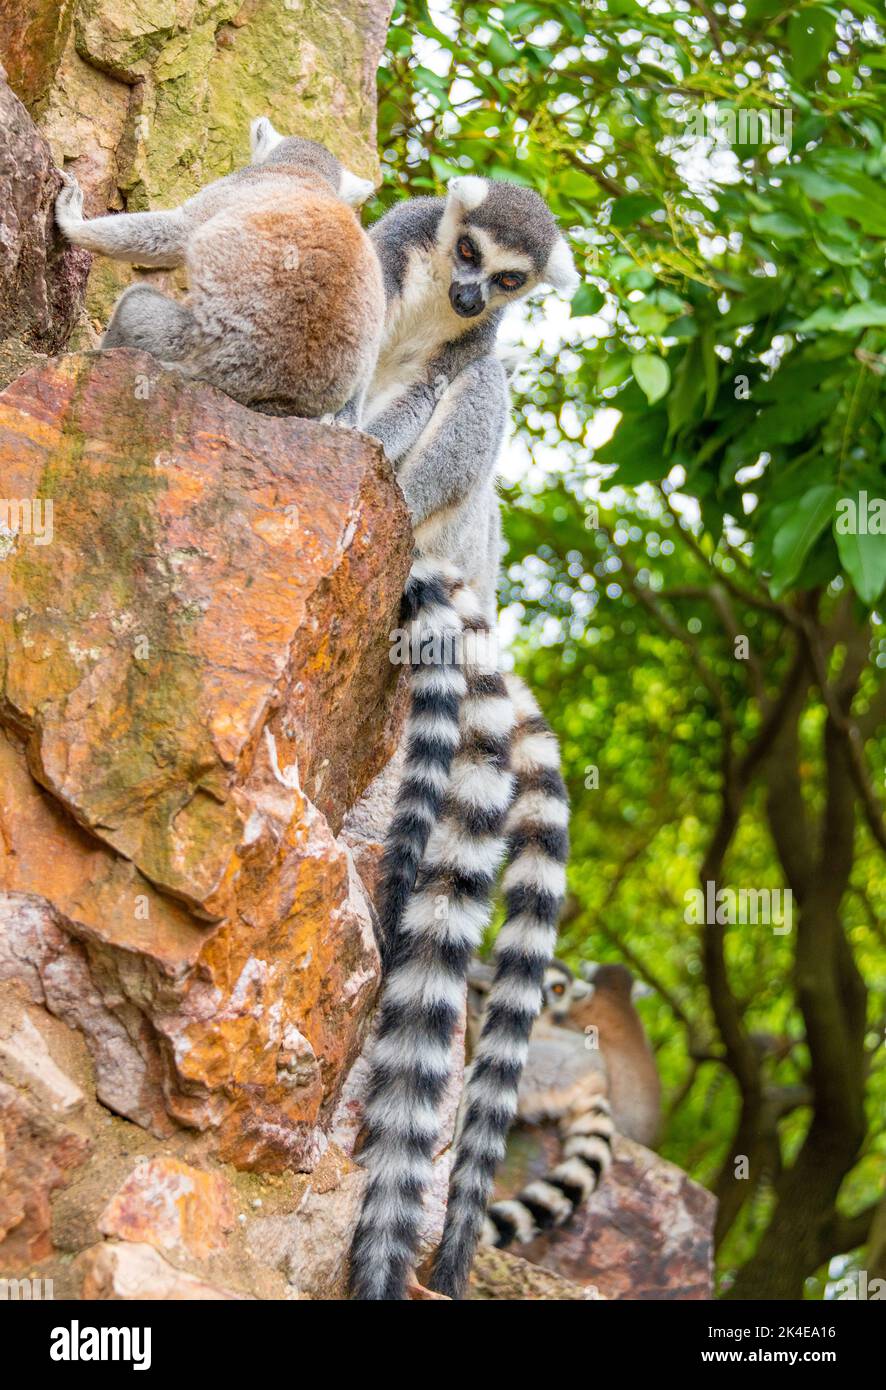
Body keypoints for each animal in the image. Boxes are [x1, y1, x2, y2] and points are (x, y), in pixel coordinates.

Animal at [55, 117, 384, 422]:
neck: (309, 173)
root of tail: (277, 399)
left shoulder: (231, 189)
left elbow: (174, 231)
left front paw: (72, 223)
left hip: (195, 349)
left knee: (135, 306)